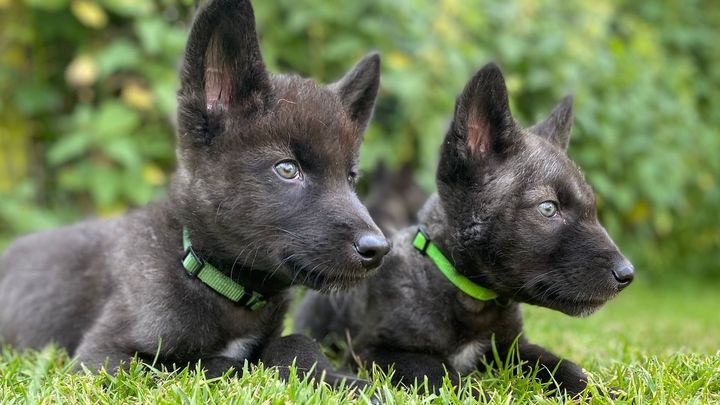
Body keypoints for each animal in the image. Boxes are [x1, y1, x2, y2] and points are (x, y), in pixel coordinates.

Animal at [0, 0, 390, 386]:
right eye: (287, 169)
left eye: (351, 177)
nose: (378, 249)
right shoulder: (102, 356)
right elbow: (213, 365)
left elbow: (296, 341)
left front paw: (345, 380)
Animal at [294, 63, 634, 395]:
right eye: (548, 208)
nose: (627, 275)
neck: (469, 295)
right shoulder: (374, 351)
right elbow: (444, 375)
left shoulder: (513, 349)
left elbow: (565, 367)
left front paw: (603, 391)